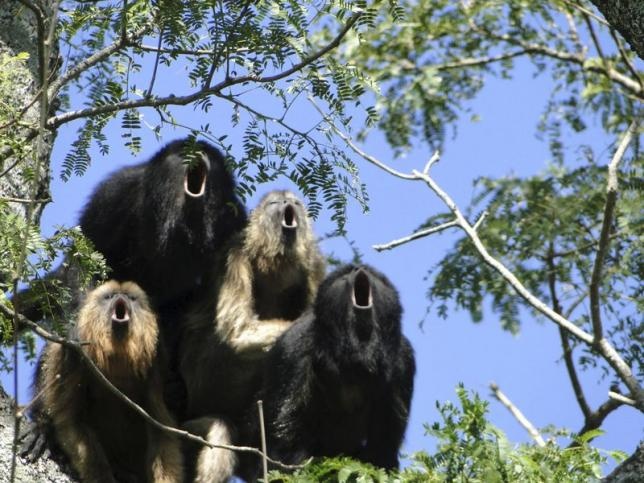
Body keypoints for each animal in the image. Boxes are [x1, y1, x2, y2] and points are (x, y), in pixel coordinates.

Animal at [32, 281, 184, 483]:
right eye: (109, 296)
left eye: (131, 297)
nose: (121, 296)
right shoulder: (72, 350)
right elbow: (71, 420)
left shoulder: (156, 360)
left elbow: (162, 427)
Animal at [179, 190, 326, 482]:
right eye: (275, 203)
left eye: (295, 202)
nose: (288, 203)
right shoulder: (235, 255)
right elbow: (237, 331)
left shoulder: (314, 266)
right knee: (219, 429)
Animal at [242, 264, 415, 478]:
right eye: (344, 276)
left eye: (375, 277)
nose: (359, 269)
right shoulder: (295, 346)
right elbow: (284, 440)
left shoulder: (404, 360)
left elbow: (383, 447)